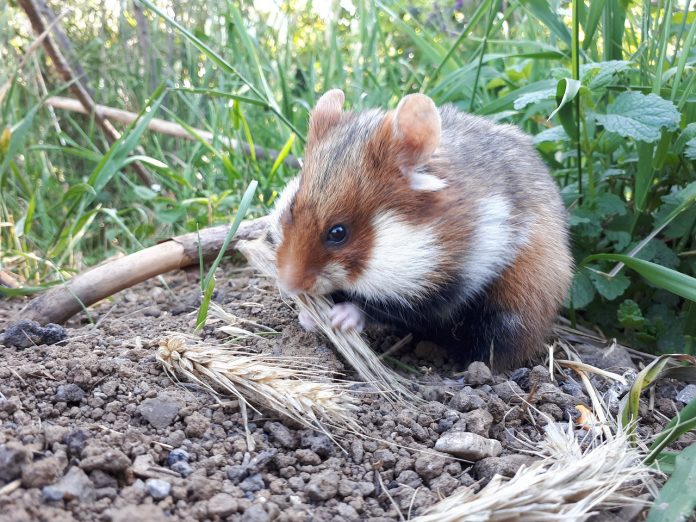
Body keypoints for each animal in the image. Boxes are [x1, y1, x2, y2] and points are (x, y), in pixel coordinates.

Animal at [269, 89, 573, 368]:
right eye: (292, 209)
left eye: (338, 233)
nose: (287, 285)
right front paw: (308, 317)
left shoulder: (449, 283)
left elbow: (392, 310)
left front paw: (341, 318)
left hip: (518, 305)